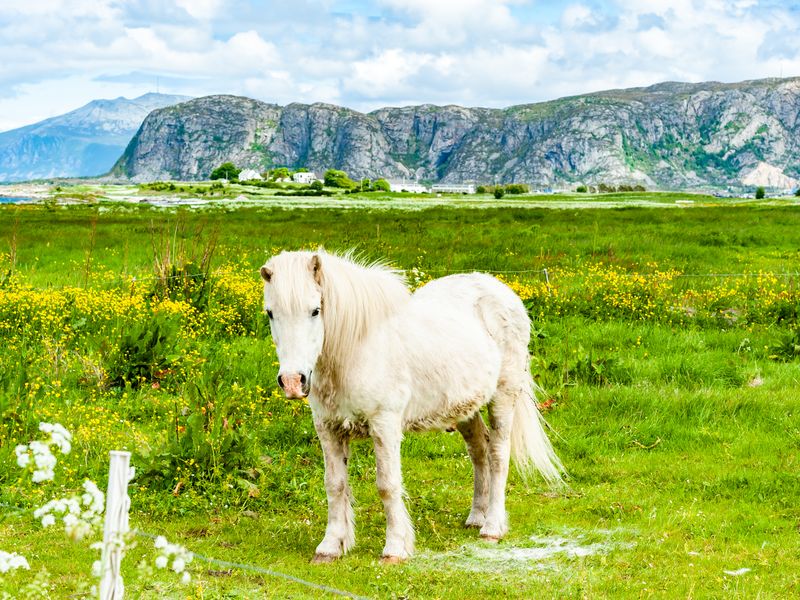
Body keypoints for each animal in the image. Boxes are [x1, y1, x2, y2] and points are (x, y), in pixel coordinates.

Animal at [259, 250, 564, 564]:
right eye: (270, 313)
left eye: (315, 310)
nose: (293, 382)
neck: (356, 349)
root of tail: (503, 292)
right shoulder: (328, 428)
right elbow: (335, 485)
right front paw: (330, 547)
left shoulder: (384, 426)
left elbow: (387, 485)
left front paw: (395, 549)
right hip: (465, 407)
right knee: (479, 452)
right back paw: (476, 516)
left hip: (503, 396)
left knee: (498, 455)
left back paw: (491, 527)